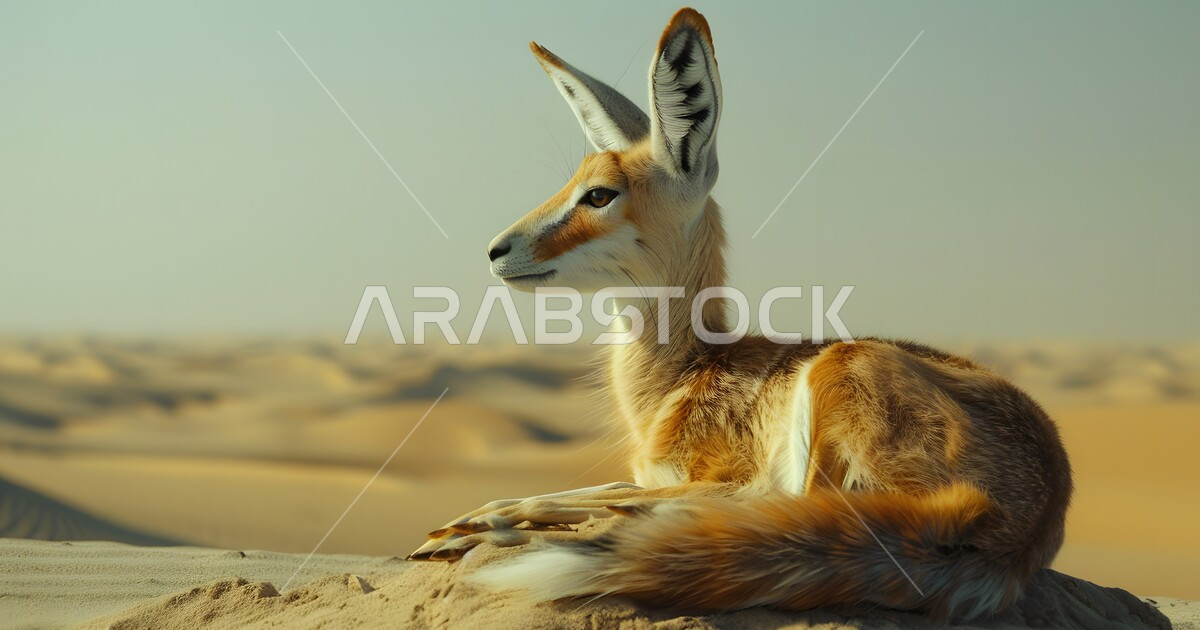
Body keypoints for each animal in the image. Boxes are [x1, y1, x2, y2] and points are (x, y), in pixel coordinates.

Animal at [408, 7, 1073, 622]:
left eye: (598, 196)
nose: (495, 251)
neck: (684, 374)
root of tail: (1028, 524)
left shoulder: (718, 470)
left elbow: (617, 494)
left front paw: (489, 524)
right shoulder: (654, 471)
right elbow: (595, 486)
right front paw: (482, 518)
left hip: (837, 381)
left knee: (760, 509)